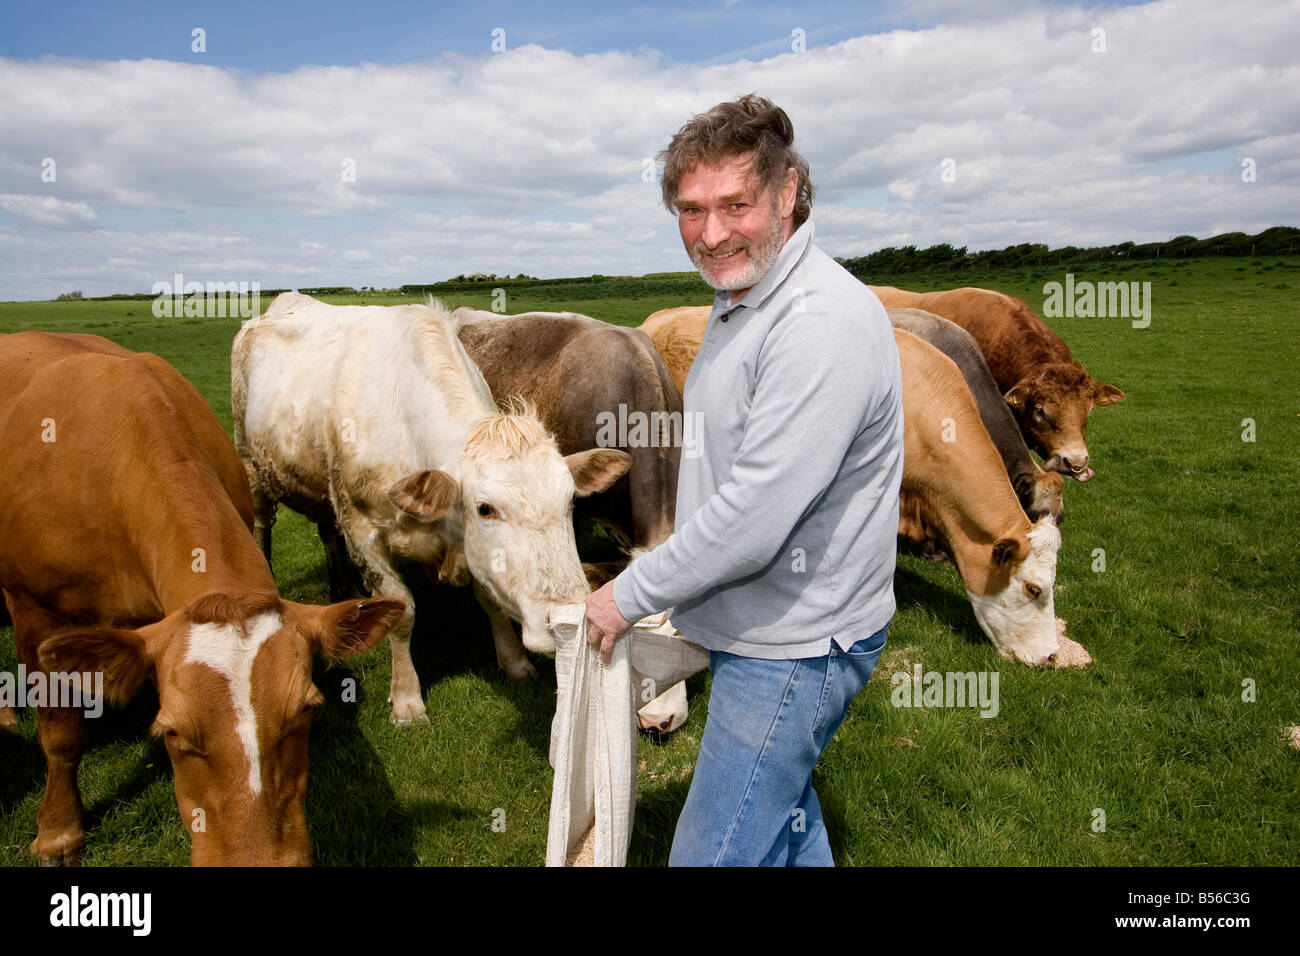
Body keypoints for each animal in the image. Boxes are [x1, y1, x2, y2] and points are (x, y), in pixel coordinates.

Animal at [232, 293, 630, 724]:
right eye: (485, 508)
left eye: (570, 501)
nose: (566, 620)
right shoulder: (363, 529)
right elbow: (402, 611)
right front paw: (407, 699)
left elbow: (490, 599)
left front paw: (515, 662)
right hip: (251, 466)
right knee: (261, 526)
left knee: (326, 530)